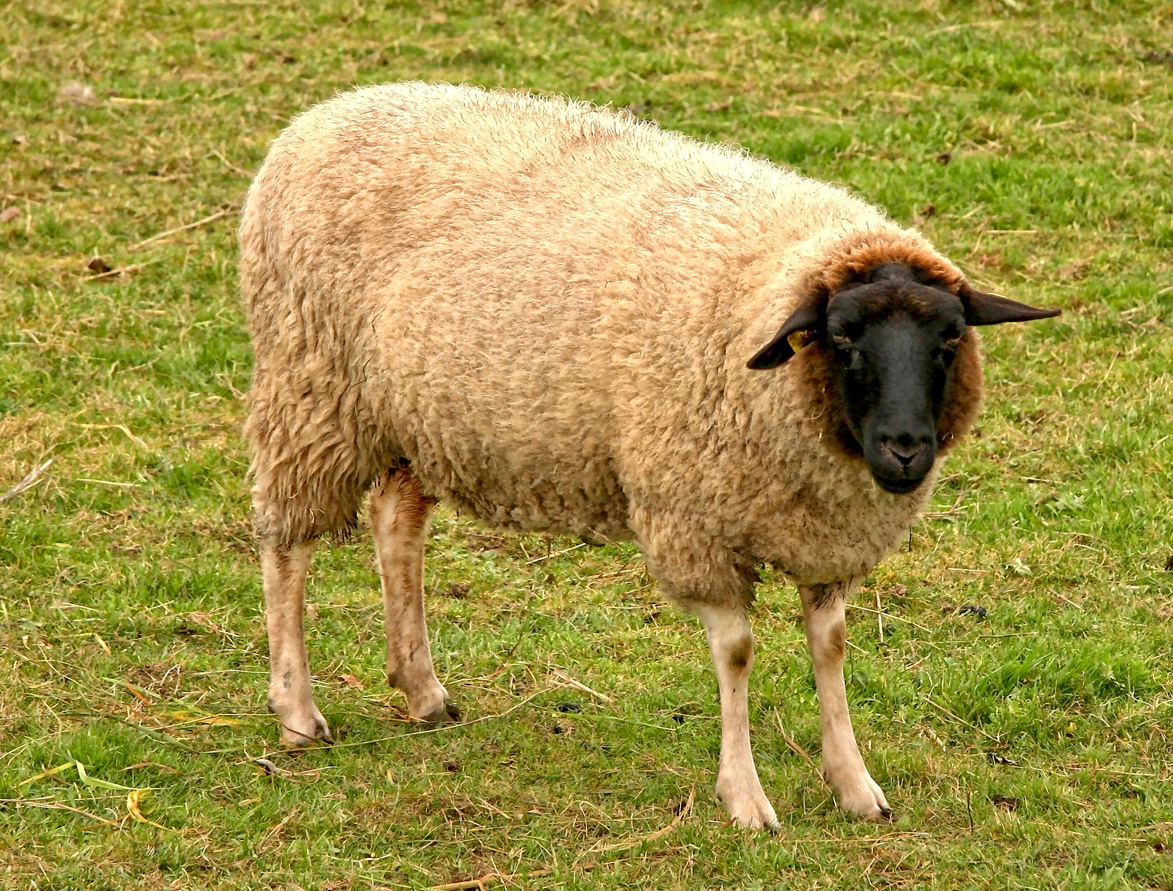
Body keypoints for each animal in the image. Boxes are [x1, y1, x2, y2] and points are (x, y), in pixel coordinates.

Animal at [240, 81, 1059, 829]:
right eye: (843, 337)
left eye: (948, 338)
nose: (904, 448)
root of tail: (324, 113)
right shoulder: (694, 518)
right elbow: (737, 653)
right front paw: (746, 798)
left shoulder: (825, 536)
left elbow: (829, 647)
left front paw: (853, 784)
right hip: (310, 385)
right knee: (286, 544)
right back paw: (297, 710)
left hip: (418, 412)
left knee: (395, 521)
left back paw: (422, 689)